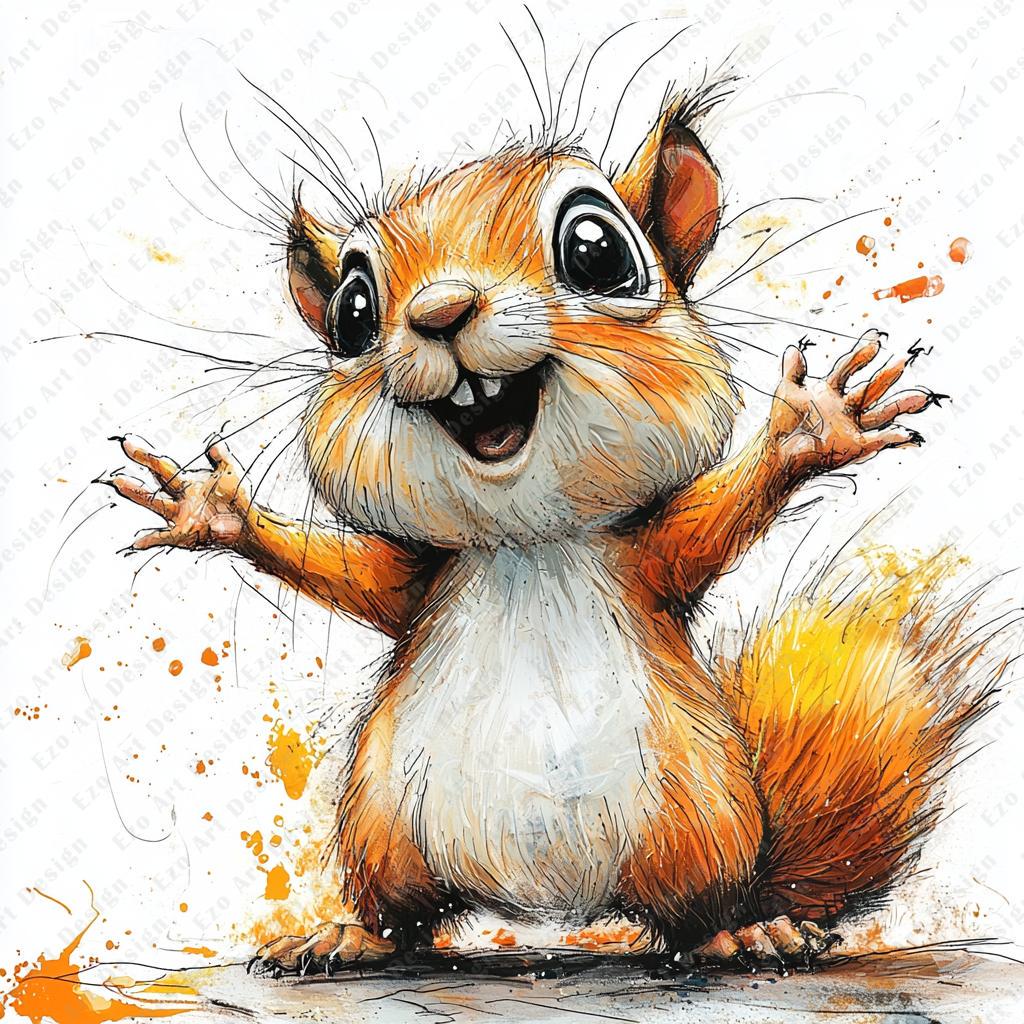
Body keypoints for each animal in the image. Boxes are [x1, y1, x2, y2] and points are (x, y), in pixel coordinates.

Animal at [105, 88, 999, 971]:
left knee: (692, 916)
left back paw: (742, 932)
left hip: (700, 822)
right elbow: (357, 575)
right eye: (352, 313)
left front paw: (816, 427)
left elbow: (715, 519)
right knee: (406, 918)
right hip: (382, 828)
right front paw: (211, 508)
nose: (440, 310)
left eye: (596, 250)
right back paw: (346, 937)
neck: (525, 539)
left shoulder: (650, 557)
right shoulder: (423, 580)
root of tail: (554, 907)